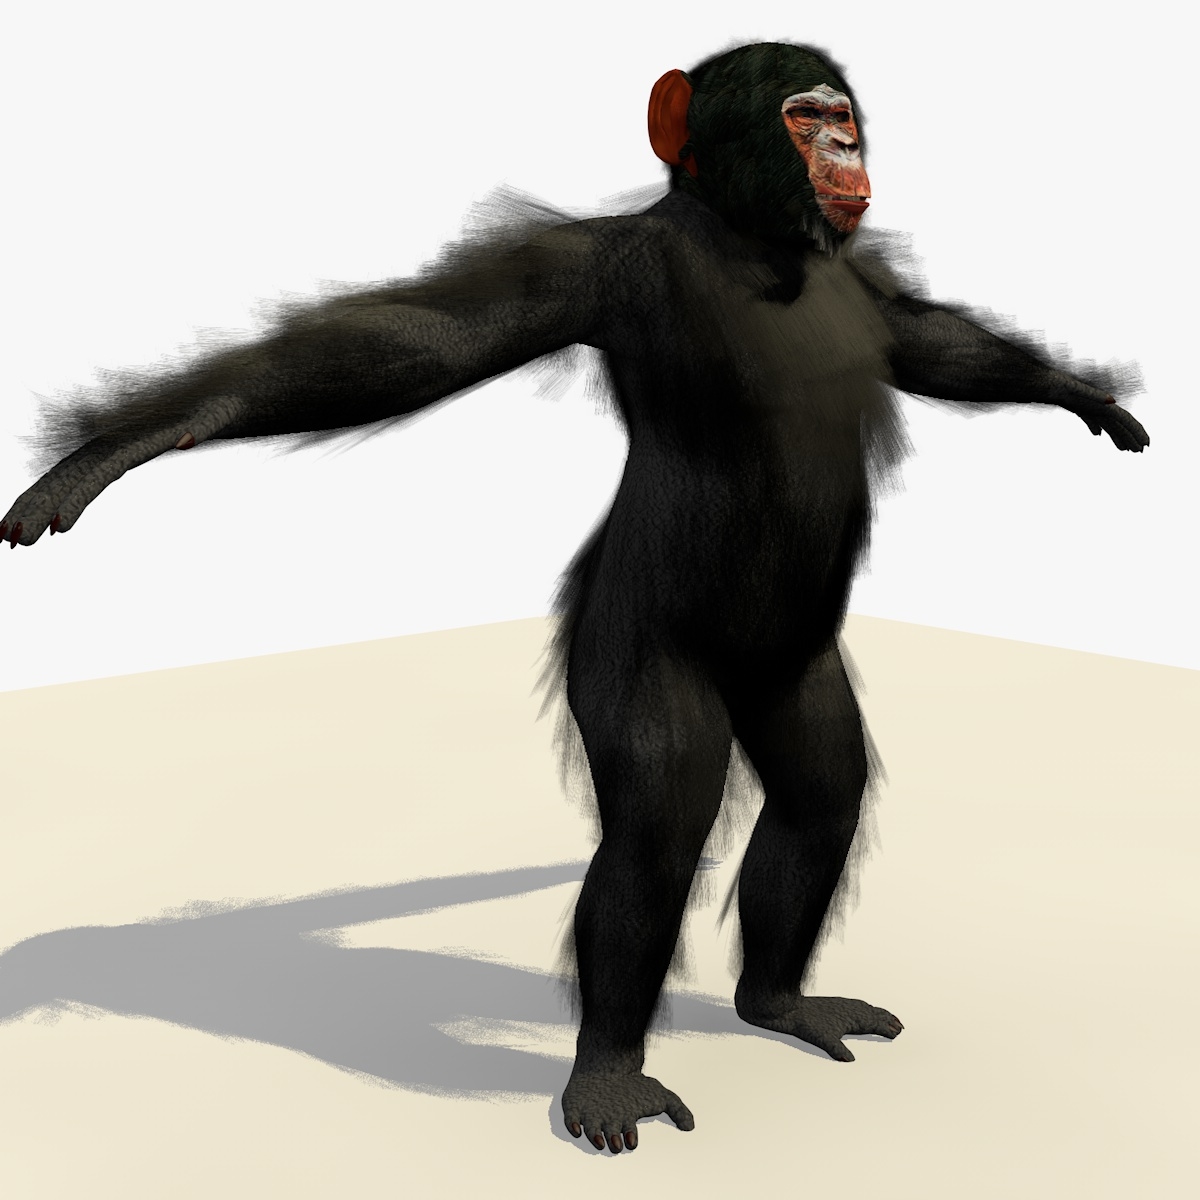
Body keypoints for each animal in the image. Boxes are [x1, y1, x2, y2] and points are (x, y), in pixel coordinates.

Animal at [1, 42, 1147, 1154]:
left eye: (841, 117)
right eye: (806, 117)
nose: (847, 150)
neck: (756, 249)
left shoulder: (854, 274)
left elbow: (924, 340)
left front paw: (1087, 396)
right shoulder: (599, 268)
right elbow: (419, 341)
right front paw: (119, 444)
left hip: (793, 668)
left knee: (820, 795)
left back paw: (777, 1002)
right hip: (633, 646)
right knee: (655, 832)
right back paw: (607, 1076)